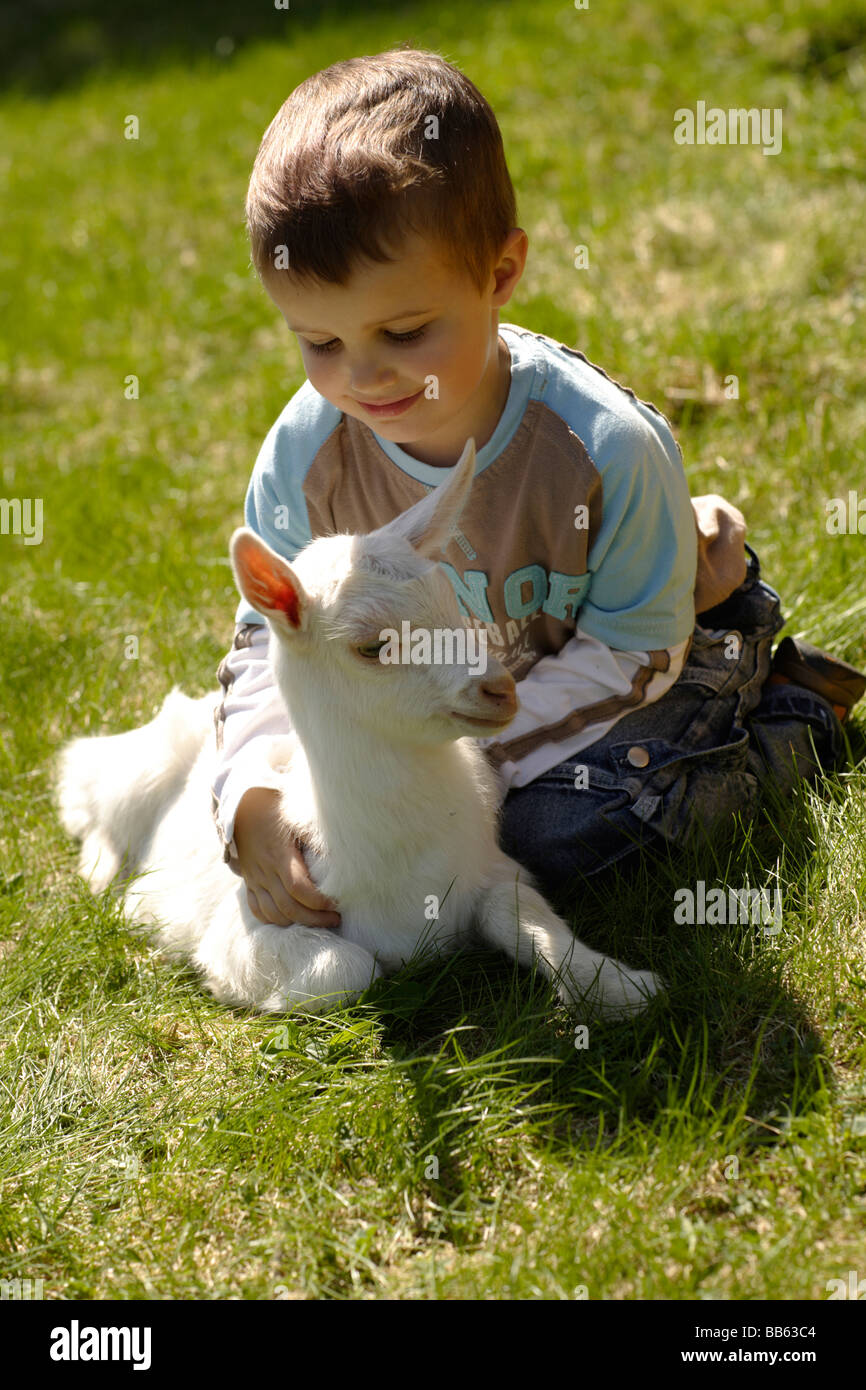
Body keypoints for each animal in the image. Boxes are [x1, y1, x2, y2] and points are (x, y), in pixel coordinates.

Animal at [57, 438, 663, 1018]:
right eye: (372, 647)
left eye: (454, 605)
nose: (500, 690)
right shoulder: (244, 925)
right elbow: (349, 967)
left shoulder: (489, 869)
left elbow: (521, 916)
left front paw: (624, 989)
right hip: (141, 764)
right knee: (87, 790)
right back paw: (104, 878)